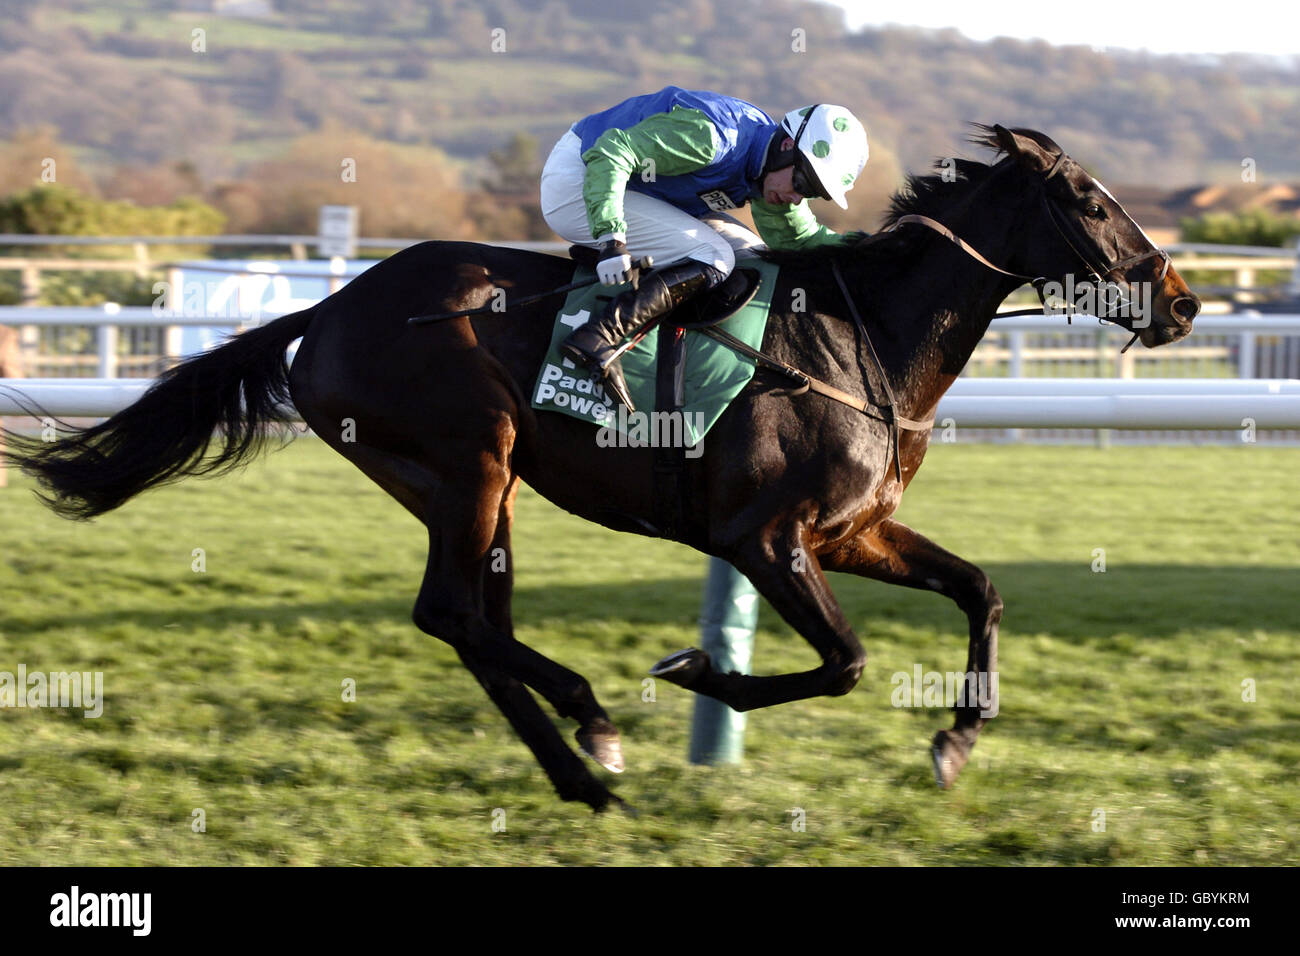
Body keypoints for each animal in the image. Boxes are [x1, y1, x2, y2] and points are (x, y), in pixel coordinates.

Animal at [3, 125, 1199, 812]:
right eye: (1090, 201)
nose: (1184, 301)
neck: (859, 339)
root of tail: (332, 309)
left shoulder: (850, 531)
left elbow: (979, 588)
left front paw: (953, 743)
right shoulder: (763, 538)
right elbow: (847, 662)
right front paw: (699, 671)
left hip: (471, 486)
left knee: (468, 620)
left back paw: (582, 753)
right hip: (469, 460)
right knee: (454, 612)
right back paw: (590, 738)